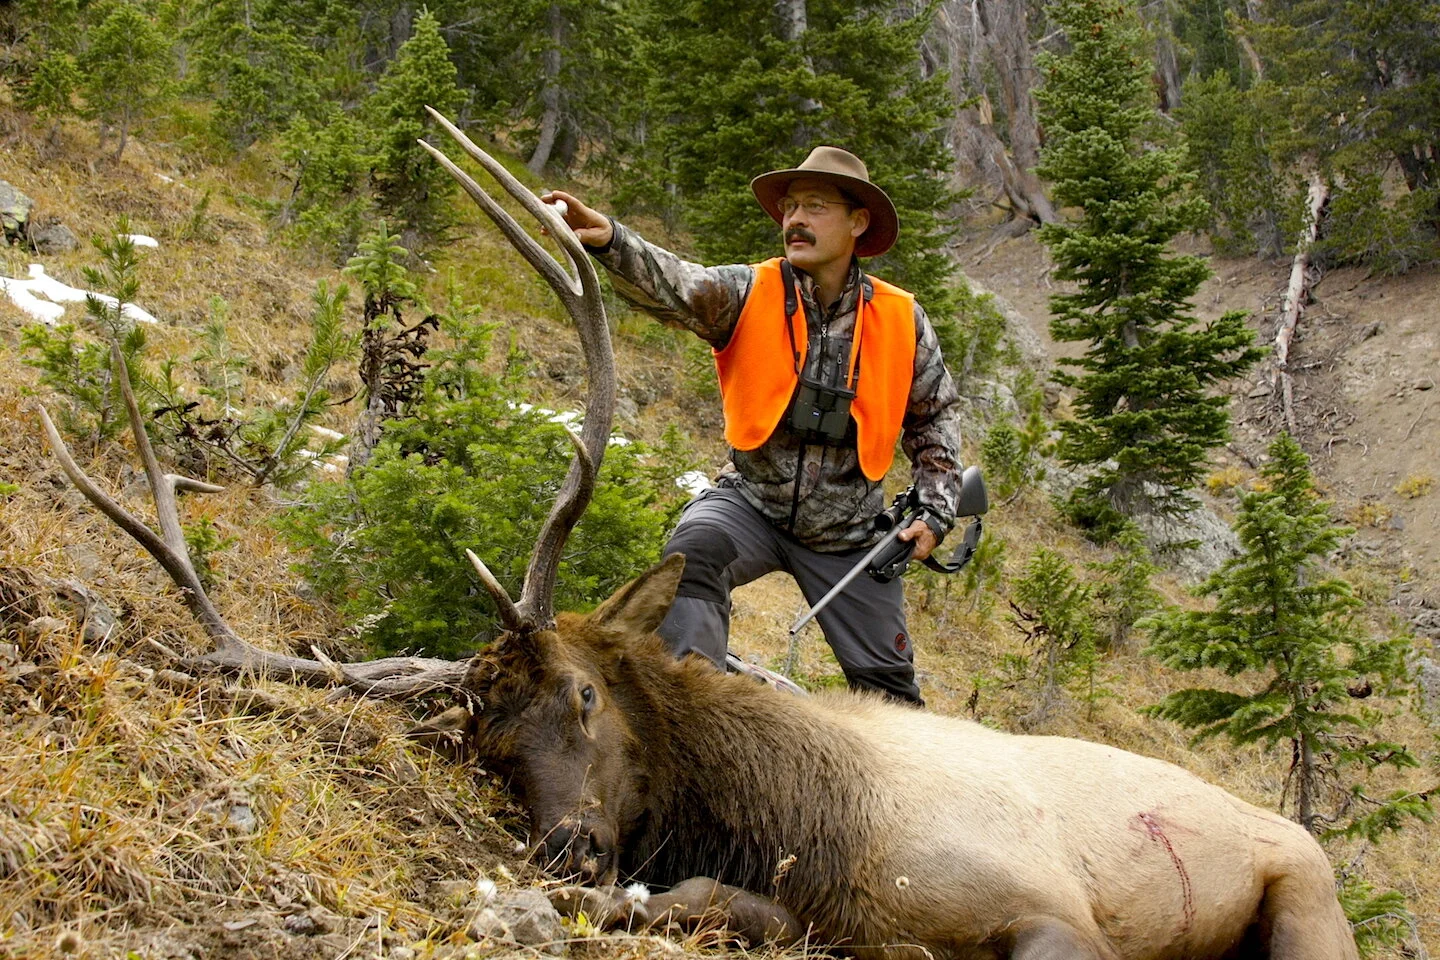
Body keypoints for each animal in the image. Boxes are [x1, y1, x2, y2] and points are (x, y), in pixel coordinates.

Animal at [35, 110, 1360, 960]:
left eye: (580, 695)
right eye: (481, 740)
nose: (566, 848)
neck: (811, 821)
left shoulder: (1051, 910)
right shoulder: (817, 914)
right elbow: (685, 903)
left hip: (1307, 895)